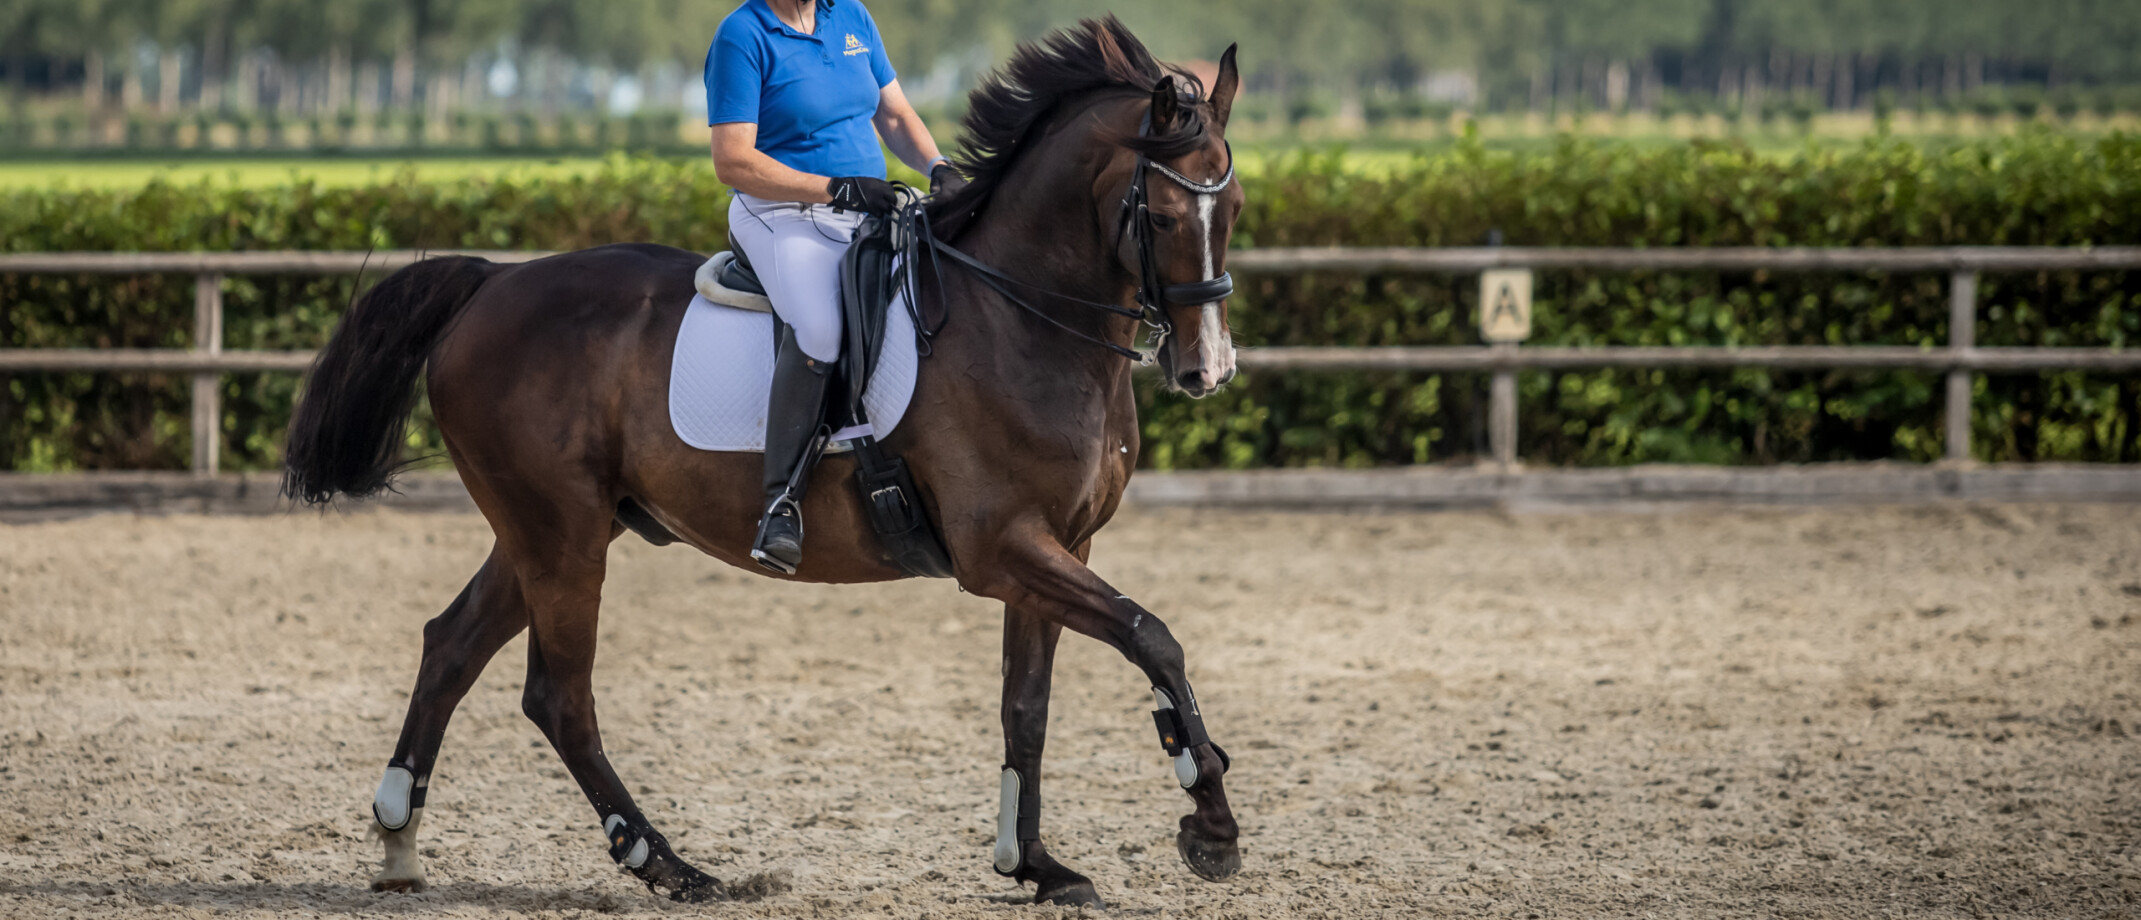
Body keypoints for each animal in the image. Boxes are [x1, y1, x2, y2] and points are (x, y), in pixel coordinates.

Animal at [282, 17, 1244, 908]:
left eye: (1230, 211)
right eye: (1161, 216)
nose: (1205, 370)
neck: (1020, 320)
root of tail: (491, 283)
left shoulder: (1062, 545)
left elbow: (1030, 706)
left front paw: (1037, 865)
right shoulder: (1000, 548)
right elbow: (1152, 636)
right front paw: (1208, 821)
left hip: (553, 529)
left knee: (451, 646)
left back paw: (399, 843)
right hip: (561, 535)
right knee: (559, 696)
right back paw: (666, 864)